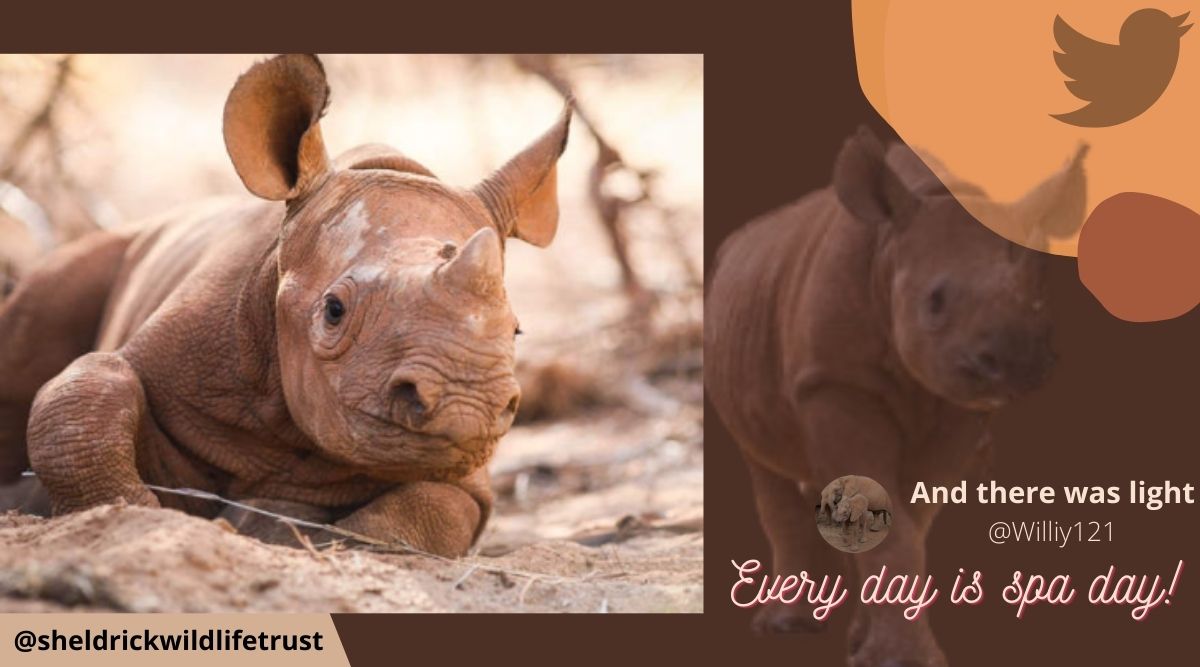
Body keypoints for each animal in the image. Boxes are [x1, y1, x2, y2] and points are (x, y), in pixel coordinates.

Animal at [0, 55, 571, 558]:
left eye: (516, 331)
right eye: (334, 310)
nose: (464, 406)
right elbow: (86, 394)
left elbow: (437, 509)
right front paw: (144, 513)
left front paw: (301, 533)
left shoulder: (464, 479)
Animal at [705, 127, 1084, 665]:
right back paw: (785, 626)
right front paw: (897, 659)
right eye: (935, 302)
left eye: (1040, 300)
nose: (1019, 362)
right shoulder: (834, 380)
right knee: (764, 466)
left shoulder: (956, 408)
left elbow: (908, 516)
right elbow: (888, 514)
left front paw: (870, 646)